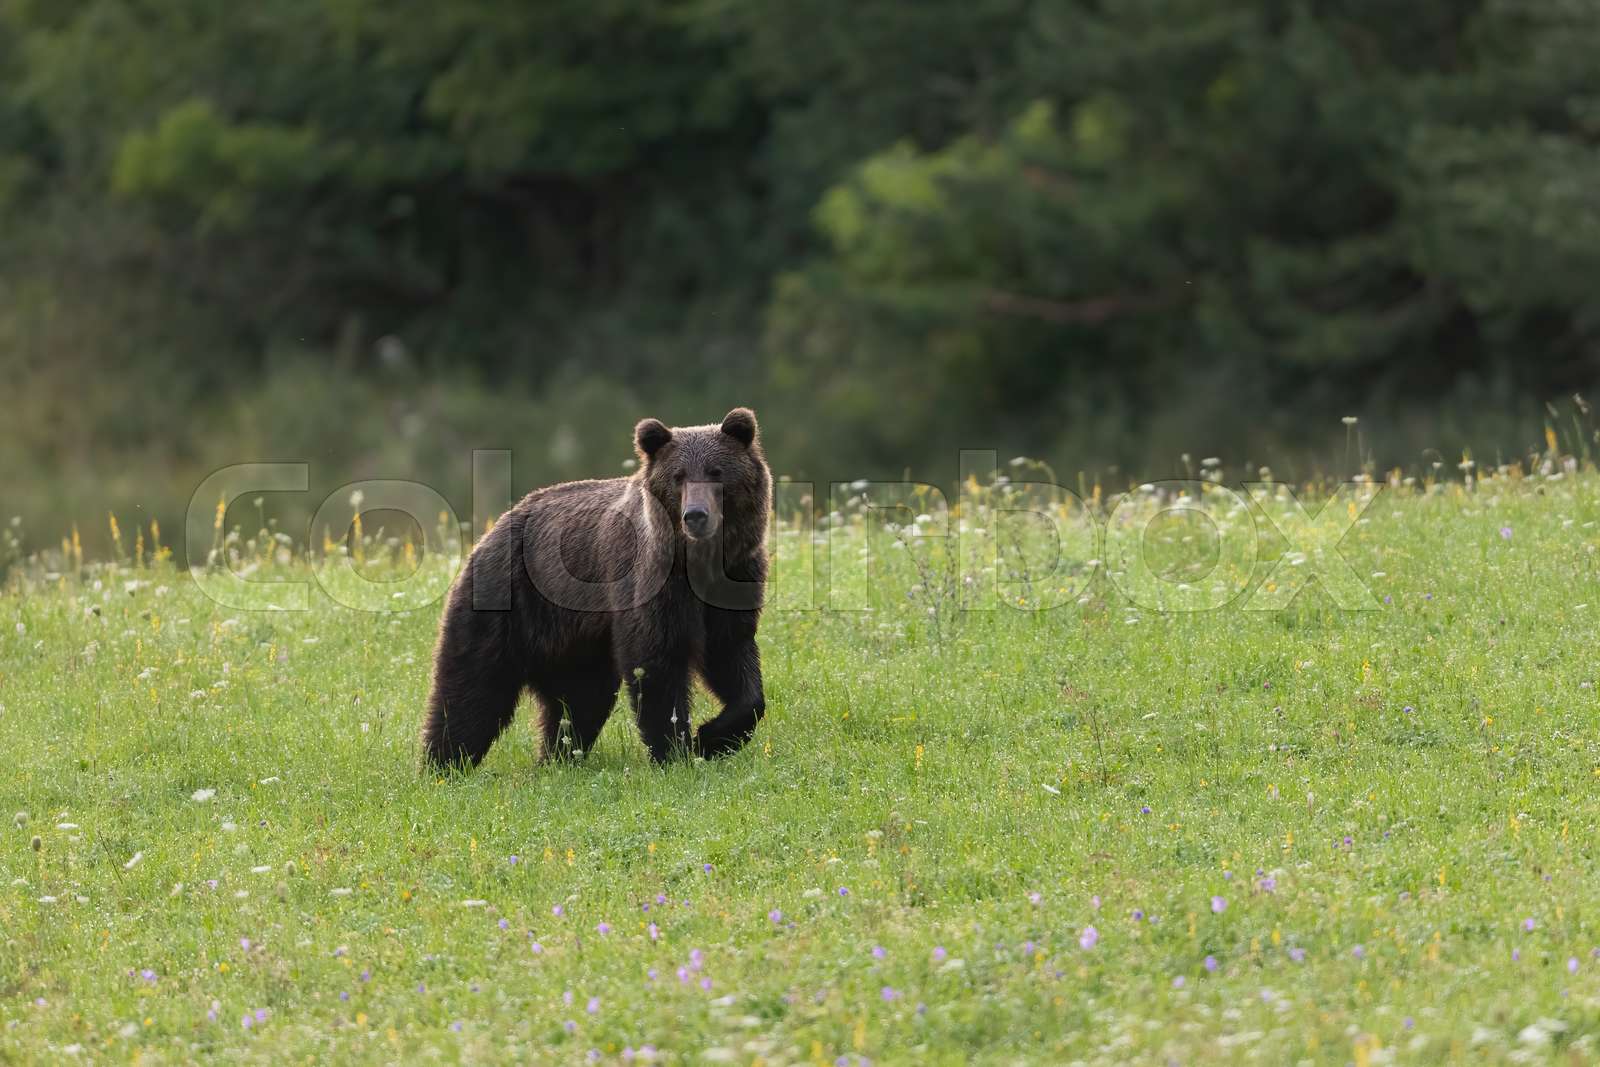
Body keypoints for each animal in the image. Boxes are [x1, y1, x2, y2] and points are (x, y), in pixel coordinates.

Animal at [420, 407, 770, 768]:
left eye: (717, 472)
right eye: (679, 476)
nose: (696, 515)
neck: (700, 564)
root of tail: (492, 530)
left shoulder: (734, 578)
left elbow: (733, 654)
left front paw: (712, 737)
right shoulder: (651, 581)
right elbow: (655, 660)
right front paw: (676, 749)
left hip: (576, 642)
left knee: (580, 701)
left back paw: (558, 758)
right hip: (505, 605)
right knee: (473, 689)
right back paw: (445, 763)